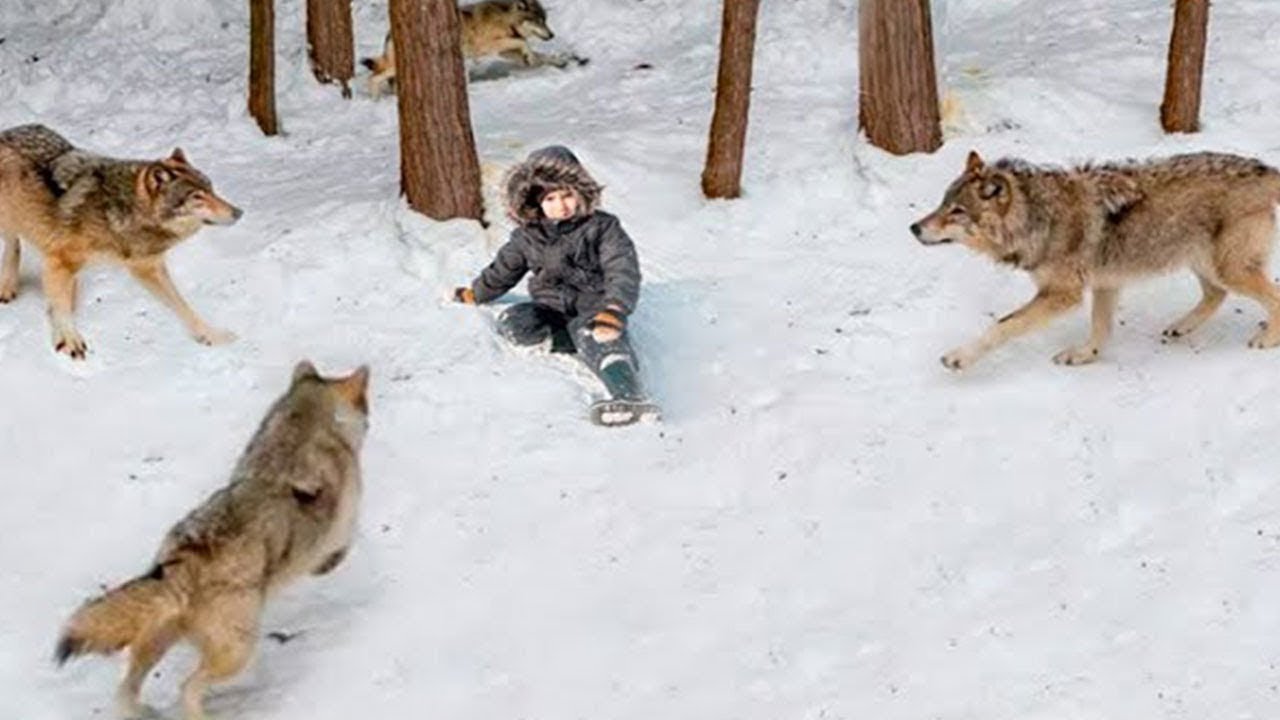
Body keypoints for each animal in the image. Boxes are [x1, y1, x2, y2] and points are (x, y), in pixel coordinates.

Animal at [0, 124, 241, 359]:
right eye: (197, 197)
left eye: (211, 189)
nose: (239, 212)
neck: (120, 213)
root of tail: (7, 132)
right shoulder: (59, 260)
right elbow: (62, 309)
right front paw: (70, 340)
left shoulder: (149, 267)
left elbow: (183, 306)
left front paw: (211, 335)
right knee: (14, 243)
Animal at [55, 361, 370, 720]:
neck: (299, 428)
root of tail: (183, 564)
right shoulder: (343, 523)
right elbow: (341, 548)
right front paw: (328, 566)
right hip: (237, 650)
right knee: (187, 688)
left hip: (157, 640)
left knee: (125, 691)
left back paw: (143, 712)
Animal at [362, 0, 575, 98]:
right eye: (538, 21)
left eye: (545, 21)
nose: (552, 35)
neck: (507, 21)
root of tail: (390, 32)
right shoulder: (489, 46)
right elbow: (524, 43)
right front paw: (530, 56)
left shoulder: (506, 52)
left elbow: (540, 55)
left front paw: (557, 61)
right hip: (396, 66)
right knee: (373, 77)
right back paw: (376, 100)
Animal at [912, 150, 1280, 370]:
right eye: (941, 204)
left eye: (957, 212)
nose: (914, 228)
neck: (1038, 219)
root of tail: (1263, 169)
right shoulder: (1106, 283)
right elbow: (1100, 330)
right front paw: (1084, 355)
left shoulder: (1062, 295)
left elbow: (1003, 325)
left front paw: (960, 357)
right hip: (1204, 263)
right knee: (1217, 294)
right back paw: (1180, 326)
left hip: (1227, 268)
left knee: (1270, 296)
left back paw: (1267, 339)